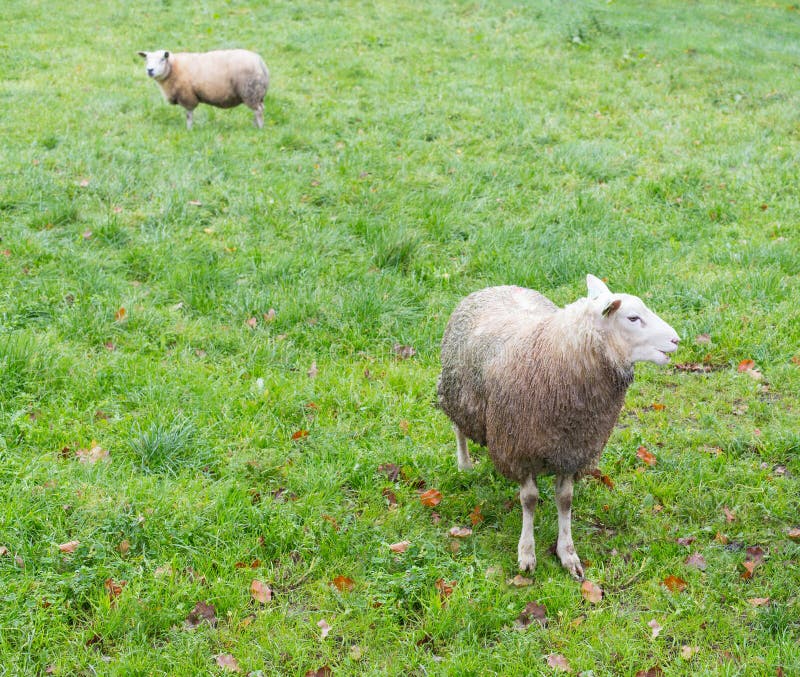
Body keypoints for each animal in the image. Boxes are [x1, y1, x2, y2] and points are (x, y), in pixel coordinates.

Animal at [137, 49, 269, 129]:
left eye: (162, 59)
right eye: (146, 59)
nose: (150, 70)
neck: (173, 68)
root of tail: (260, 61)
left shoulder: (187, 95)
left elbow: (189, 115)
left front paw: (189, 129)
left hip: (250, 91)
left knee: (258, 110)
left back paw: (260, 128)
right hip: (257, 94)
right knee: (258, 109)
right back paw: (255, 126)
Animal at [437, 275, 679, 579]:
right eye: (633, 318)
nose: (676, 339)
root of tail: (495, 286)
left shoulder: (573, 449)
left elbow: (565, 500)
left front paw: (568, 553)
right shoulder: (520, 450)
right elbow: (529, 499)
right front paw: (526, 553)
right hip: (458, 392)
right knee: (458, 429)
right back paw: (465, 465)